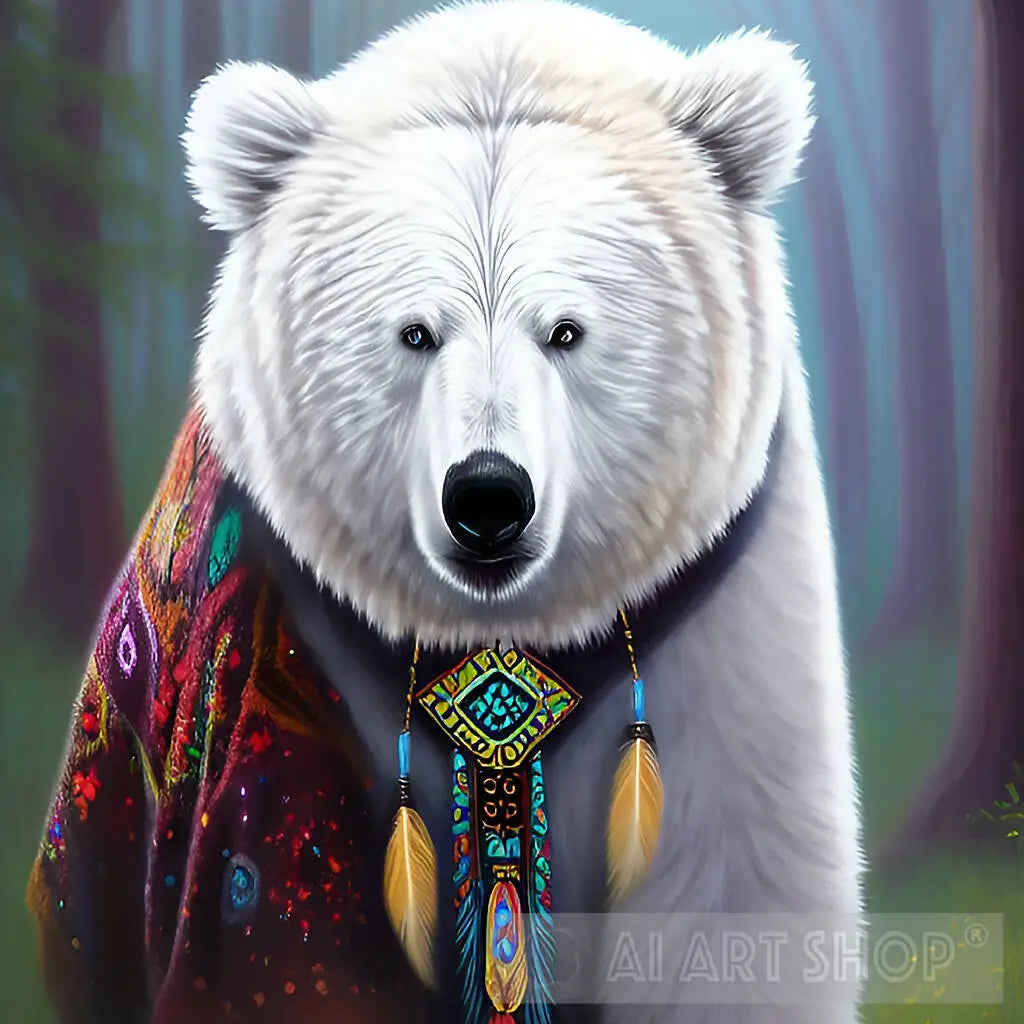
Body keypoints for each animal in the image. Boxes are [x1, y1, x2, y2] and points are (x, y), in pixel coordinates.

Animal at [27, 2, 862, 1023]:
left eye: (568, 330)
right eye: (415, 331)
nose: (489, 499)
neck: (507, 635)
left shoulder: (723, 623)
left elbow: (731, 910)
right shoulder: (270, 665)